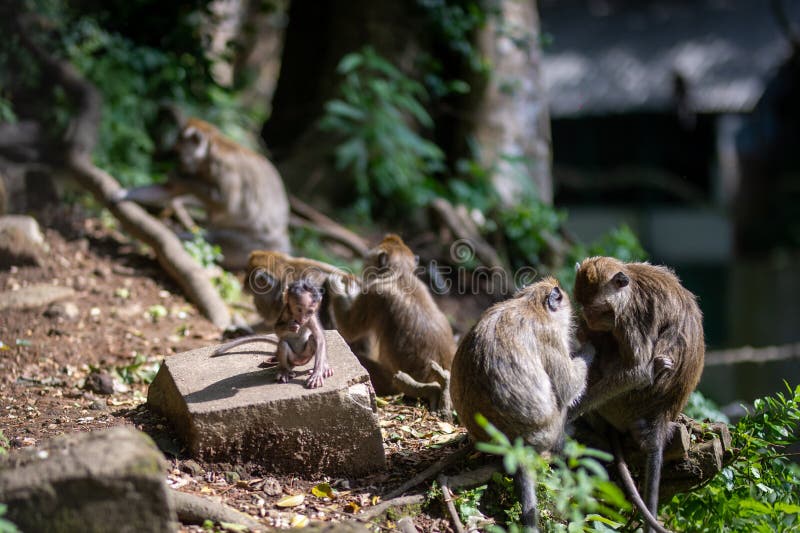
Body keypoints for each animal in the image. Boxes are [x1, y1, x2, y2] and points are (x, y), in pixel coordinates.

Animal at [116, 117, 291, 269]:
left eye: (179, 152)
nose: (179, 163)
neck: (209, 154)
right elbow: (169, 189)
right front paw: (124, 194)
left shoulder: (224, 168)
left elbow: (227, 204)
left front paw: (183, 178)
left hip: (250, 243)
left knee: (216, 239)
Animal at [325, 234, 456, 414]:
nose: (364, 267)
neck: (401, 275)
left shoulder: (374, 293)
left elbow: (349, 329)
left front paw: (339, 286)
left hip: (389, 381)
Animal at [450, 277, 591, 530]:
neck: (530, 304)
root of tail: (514, 445)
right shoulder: (550, 335)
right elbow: (567, 387)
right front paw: (589, 350)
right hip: (547, 431)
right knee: (561, 403)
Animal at [570, 256, 705, 533]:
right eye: (583, 305)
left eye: (597, 308)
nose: (587, 317)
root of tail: (663, 413)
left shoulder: (632, 318)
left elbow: (638, 372)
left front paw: (571, 409)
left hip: (621, 407)